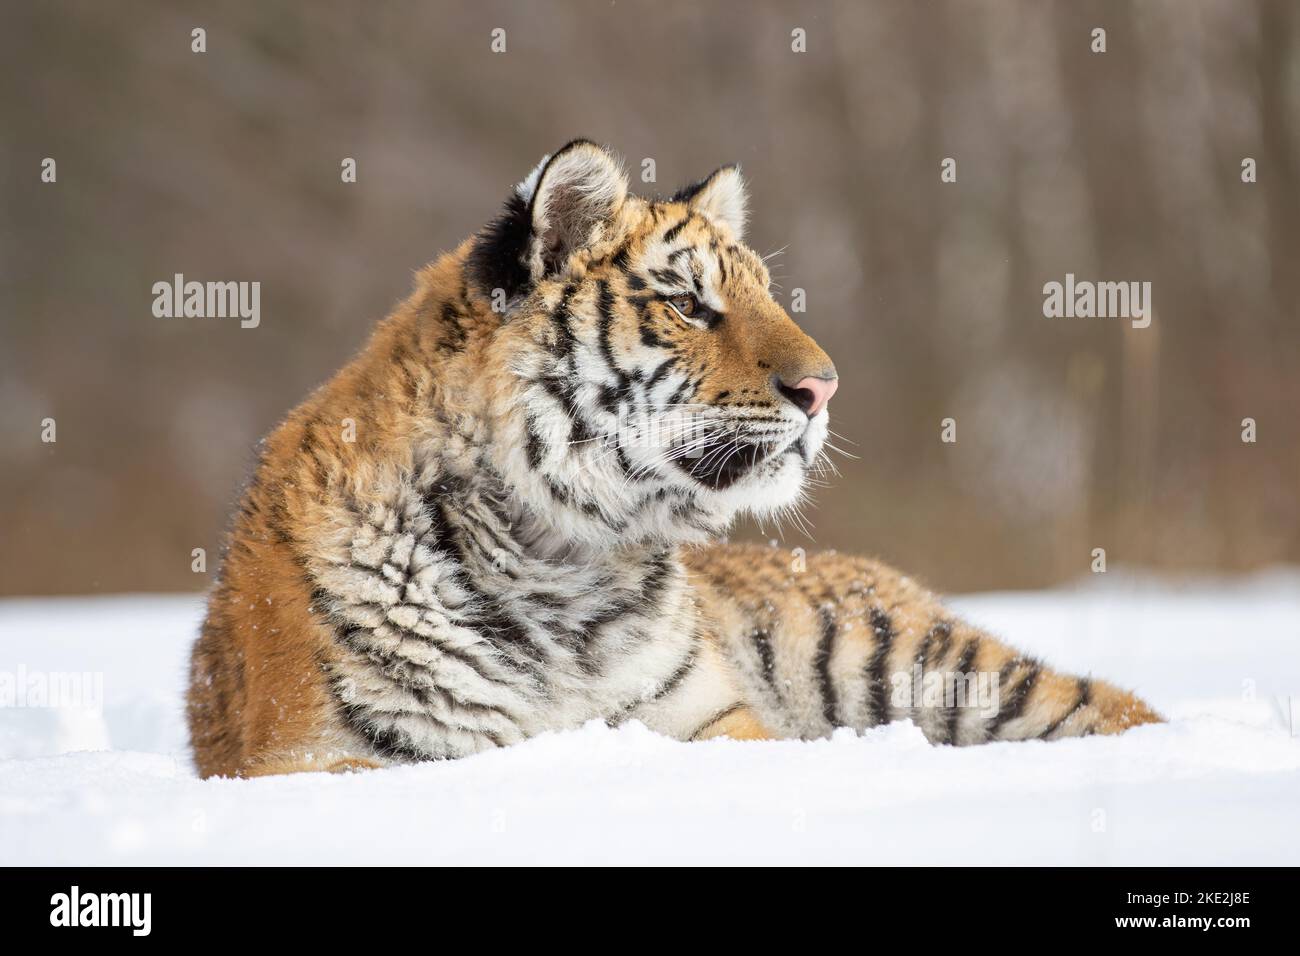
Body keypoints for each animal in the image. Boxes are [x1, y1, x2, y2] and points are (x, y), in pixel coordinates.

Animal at [186, 140, 1160, 778]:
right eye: (690, 305)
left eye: (766, 294)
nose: (824, 388)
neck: (556, 561)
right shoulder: (317, 755)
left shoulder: (713, 721)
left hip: (902, 659)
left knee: (1115, 706)